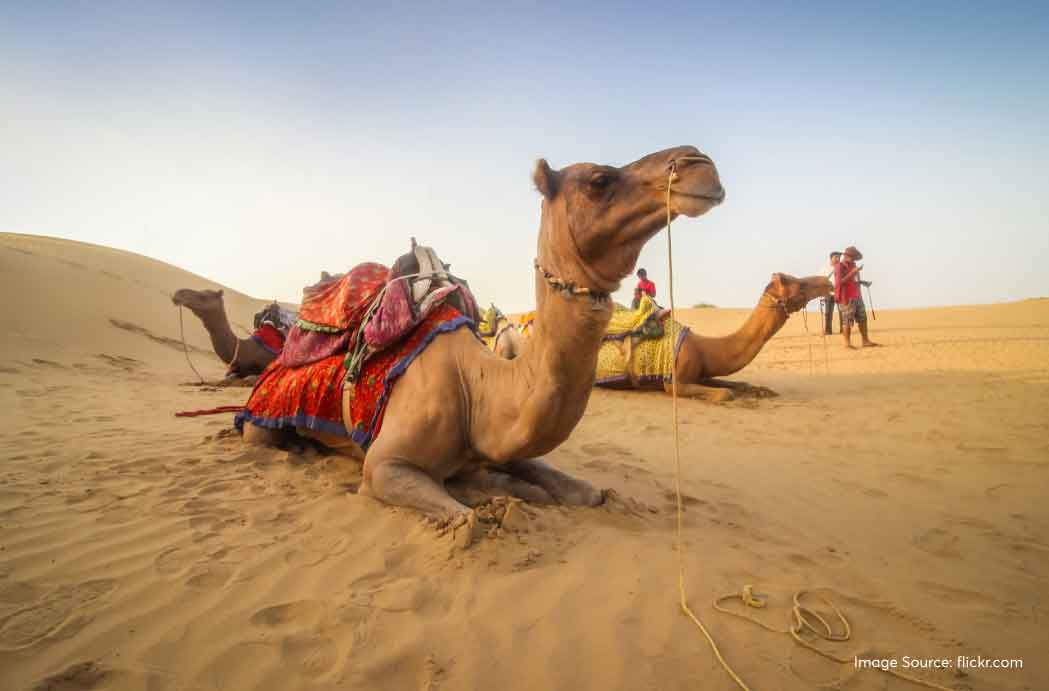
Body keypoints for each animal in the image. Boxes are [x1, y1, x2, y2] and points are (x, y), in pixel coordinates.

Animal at [242, 145, 725, 520]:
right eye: (598, 180)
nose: (699, 163)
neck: (478, 388)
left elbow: (586, 492)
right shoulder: (383, 466)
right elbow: (465, 514)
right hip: (261, 415)